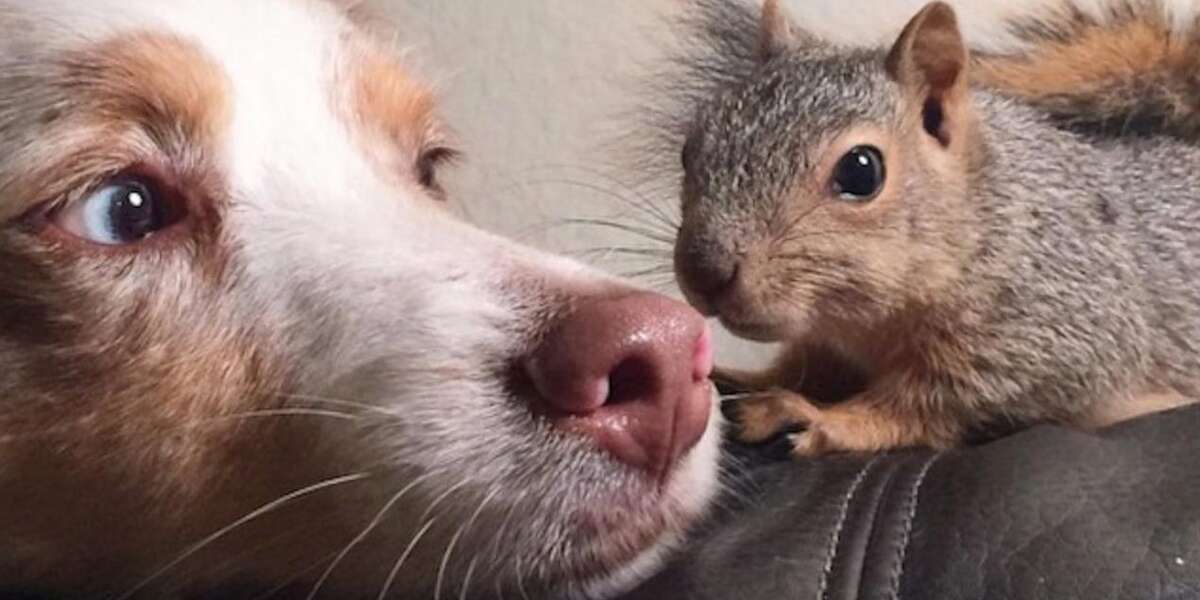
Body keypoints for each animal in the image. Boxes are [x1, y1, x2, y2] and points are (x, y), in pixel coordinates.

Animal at [663, 0, 1200, 455]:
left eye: (861, 171)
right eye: (689, 149)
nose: (704, 271)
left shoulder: (1057, 329)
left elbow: (927, 404)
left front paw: (819, 416)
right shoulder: (832, 344)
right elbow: (805, 366)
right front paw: (742, 379)